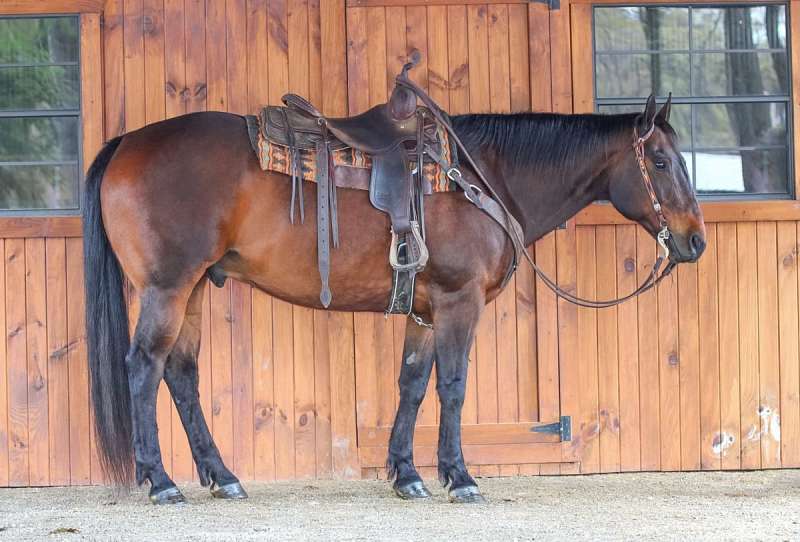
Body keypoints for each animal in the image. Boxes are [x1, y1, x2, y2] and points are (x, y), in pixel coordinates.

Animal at [83, 94, 705, 504]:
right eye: (660, 161)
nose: (695, 240)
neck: (482, 178)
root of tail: (128, 142)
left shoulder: (426, 312)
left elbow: (411, 383)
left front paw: (407, 474)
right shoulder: (459, 302)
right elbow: (452, 387)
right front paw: (460, 477)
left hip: (189, 291)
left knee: (180, 374)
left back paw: (223, 476)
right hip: (167, 288)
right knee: (144, 367)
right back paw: (161, 482)